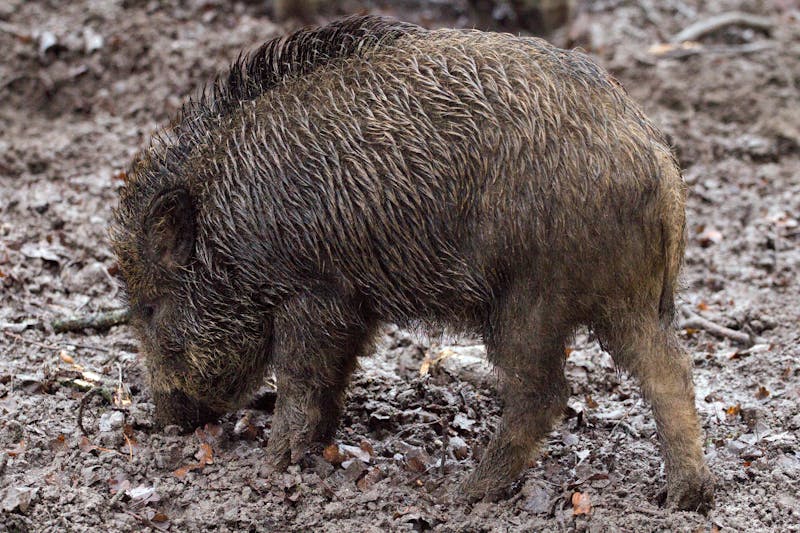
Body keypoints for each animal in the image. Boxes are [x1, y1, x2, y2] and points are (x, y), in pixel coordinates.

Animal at [111, 15, 714, 510]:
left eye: (149, 307)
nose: (166, 421)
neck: (227, 229)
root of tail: (654, 155)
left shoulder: (311, 294)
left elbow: (301, 379)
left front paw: (274, 465)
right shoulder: (352, 305)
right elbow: (332, 380)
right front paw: (317, 448)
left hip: (531, 298)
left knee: (544, 395)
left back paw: (468, 493)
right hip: (626, 296)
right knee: (670, 371)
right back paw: (684, 498)